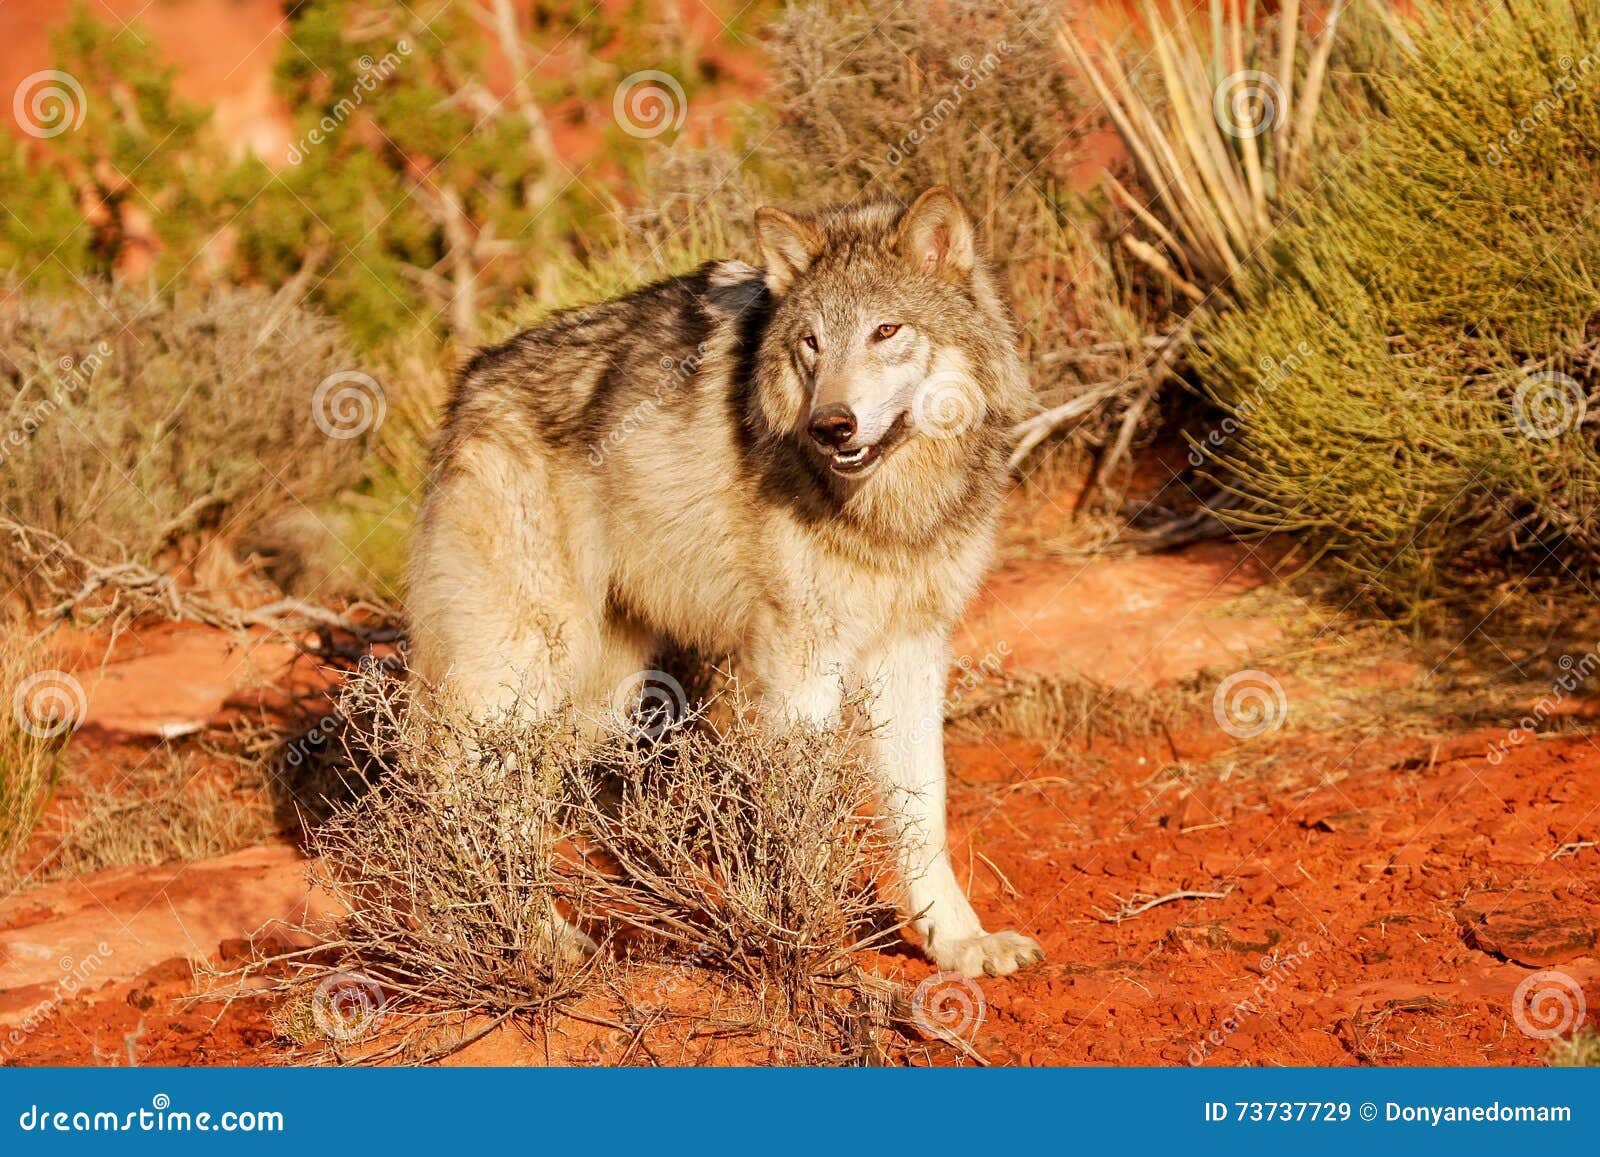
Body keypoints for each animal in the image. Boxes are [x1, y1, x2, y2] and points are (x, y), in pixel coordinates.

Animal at [407, 186, 1044, 978]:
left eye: (886, 330)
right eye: (811, 343)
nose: (832, 425)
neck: (889, 511)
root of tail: (467, 388)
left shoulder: (911, 647)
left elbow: (922, 810)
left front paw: (957, 940)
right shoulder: (798, 655)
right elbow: (803, 811)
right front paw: (807, 937)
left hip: (597, 695)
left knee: (516, 805)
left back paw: (534, 937)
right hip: (522, 670)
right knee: (450, 792)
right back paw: (492, 937)